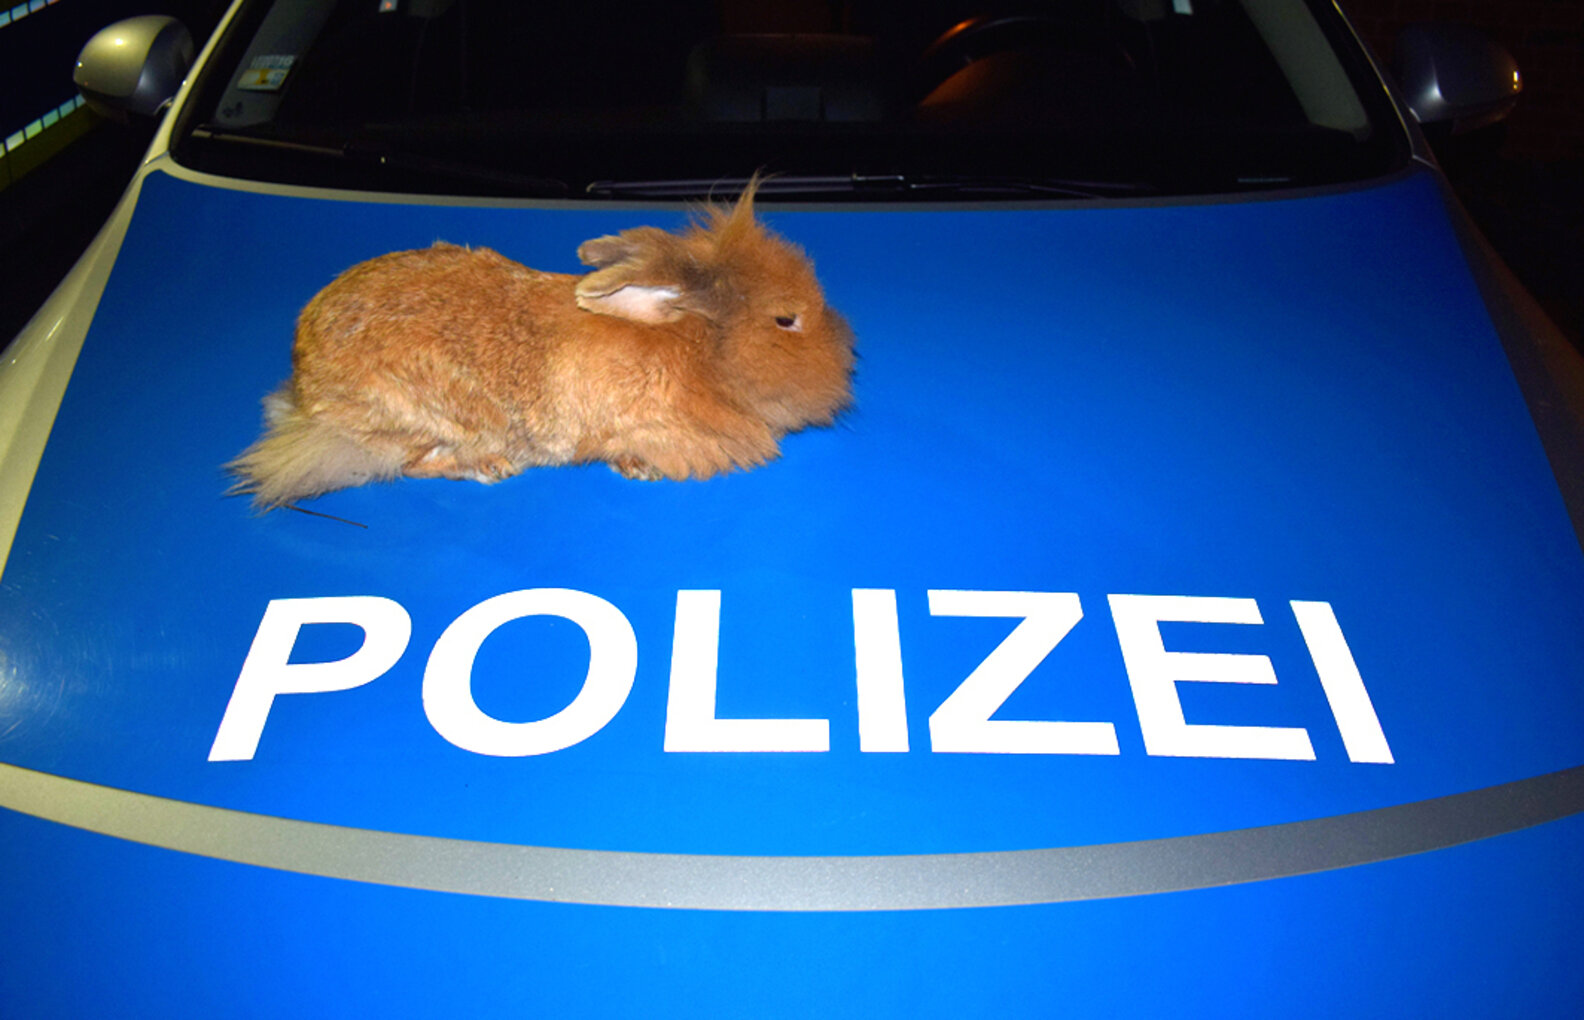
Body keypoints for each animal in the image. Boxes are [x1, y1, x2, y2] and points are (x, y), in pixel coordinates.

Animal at [226, 180, 854, 510]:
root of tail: (306, 398)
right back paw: (490, 468)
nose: (849, 355)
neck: (699, 350)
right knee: (411, 463)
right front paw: (640, 469)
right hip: (428, 416)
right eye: (786, 320)